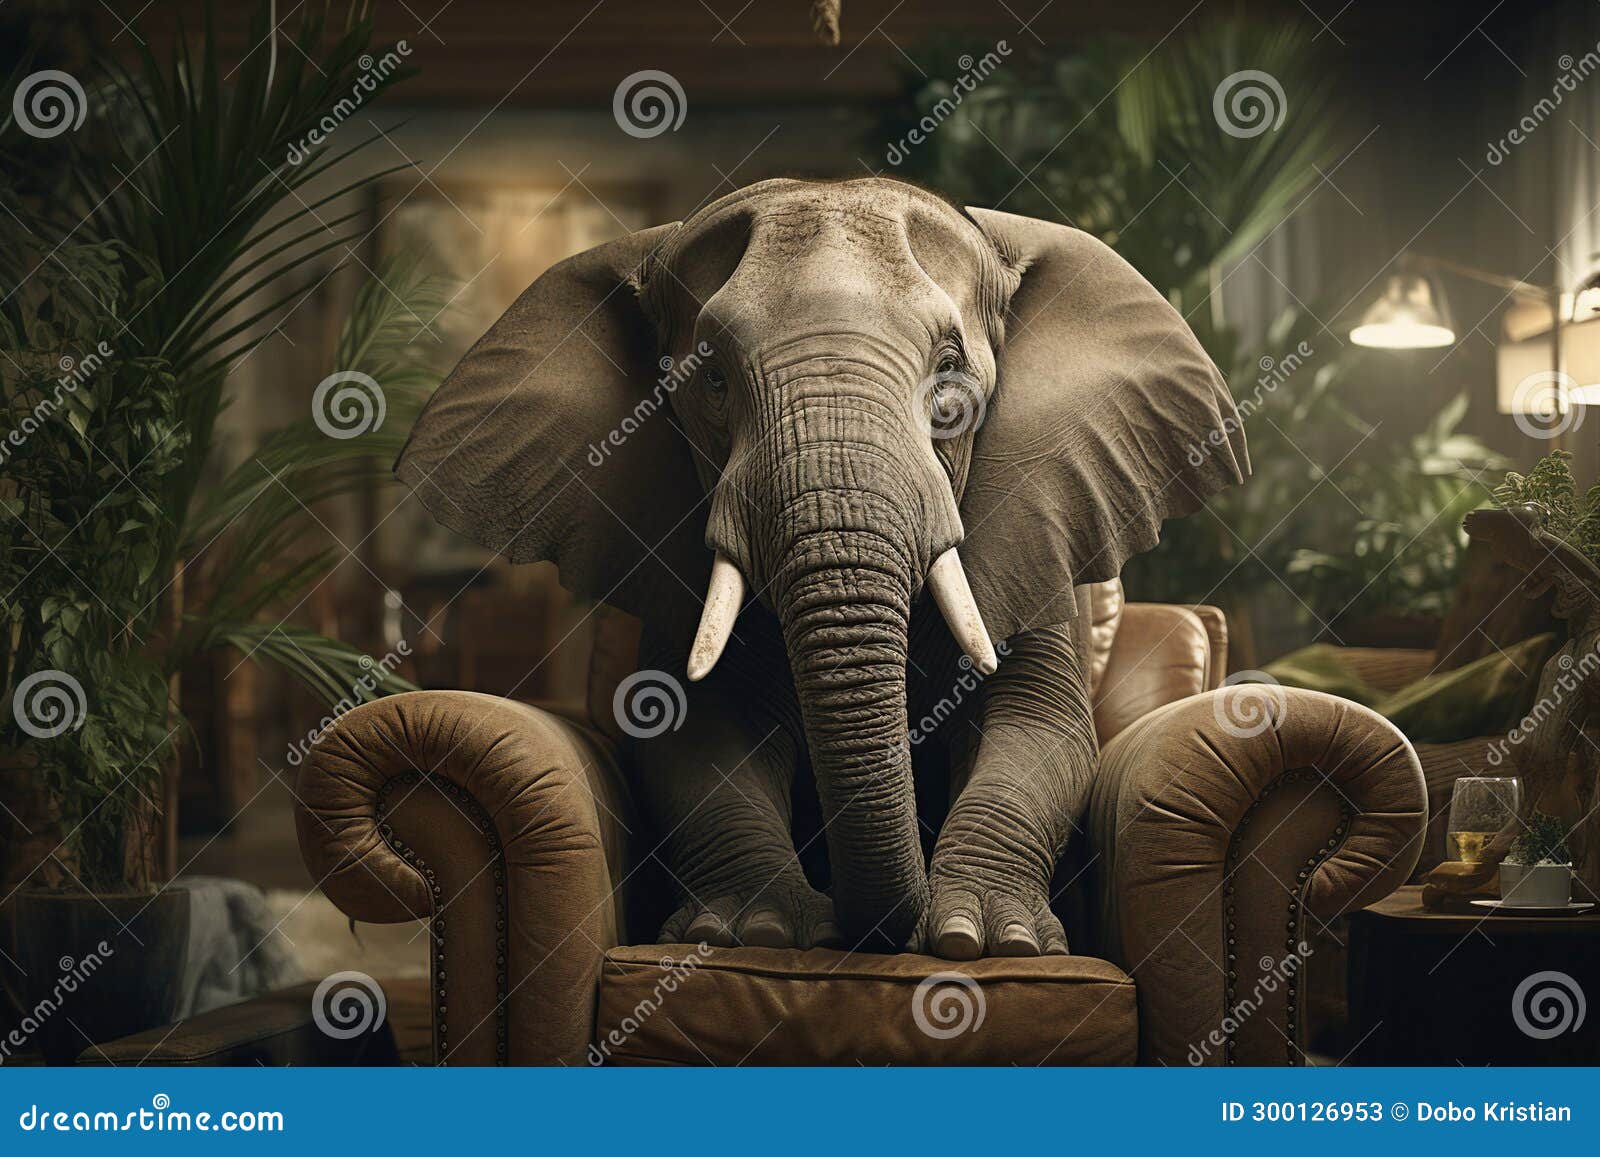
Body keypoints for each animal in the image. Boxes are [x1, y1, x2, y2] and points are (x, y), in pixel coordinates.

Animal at [395, 177, 1247, 959]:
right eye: (712, 378)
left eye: (951, 378)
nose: (868, 932)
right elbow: (697, 735)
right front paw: (754, 931)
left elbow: (1042, 727)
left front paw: (986, 941)